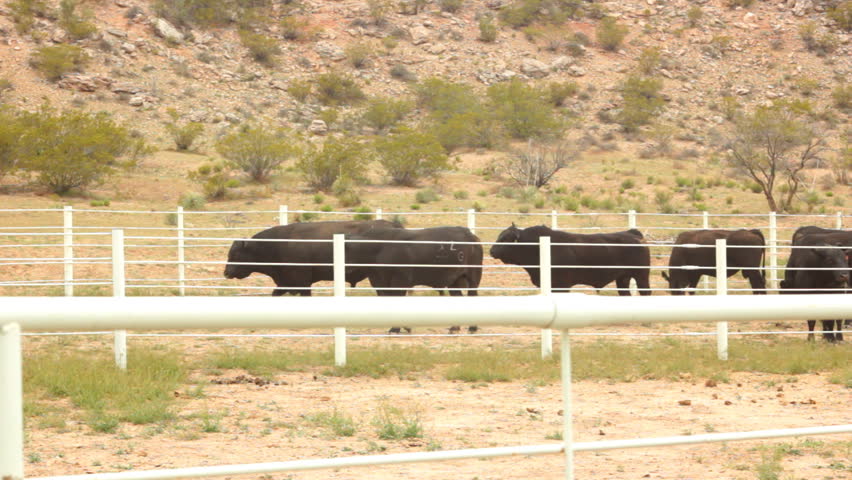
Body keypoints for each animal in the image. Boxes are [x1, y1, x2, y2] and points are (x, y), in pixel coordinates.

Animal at [344, 226, 483, 334]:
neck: (379, 248)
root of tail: (471, 235)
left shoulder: (399, 282)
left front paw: (396, 329)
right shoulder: (379, 282)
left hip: (473, 277)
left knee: (473, 296)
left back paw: (472, 327)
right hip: (454, 281)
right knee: (458, 298)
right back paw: (454, 327)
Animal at [490, 225, 651, 295]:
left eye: (505, 239)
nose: (491, 251)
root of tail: (632, 233)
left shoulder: (561, 285)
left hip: (641, 275)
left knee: (646, 292)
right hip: (623, 278)